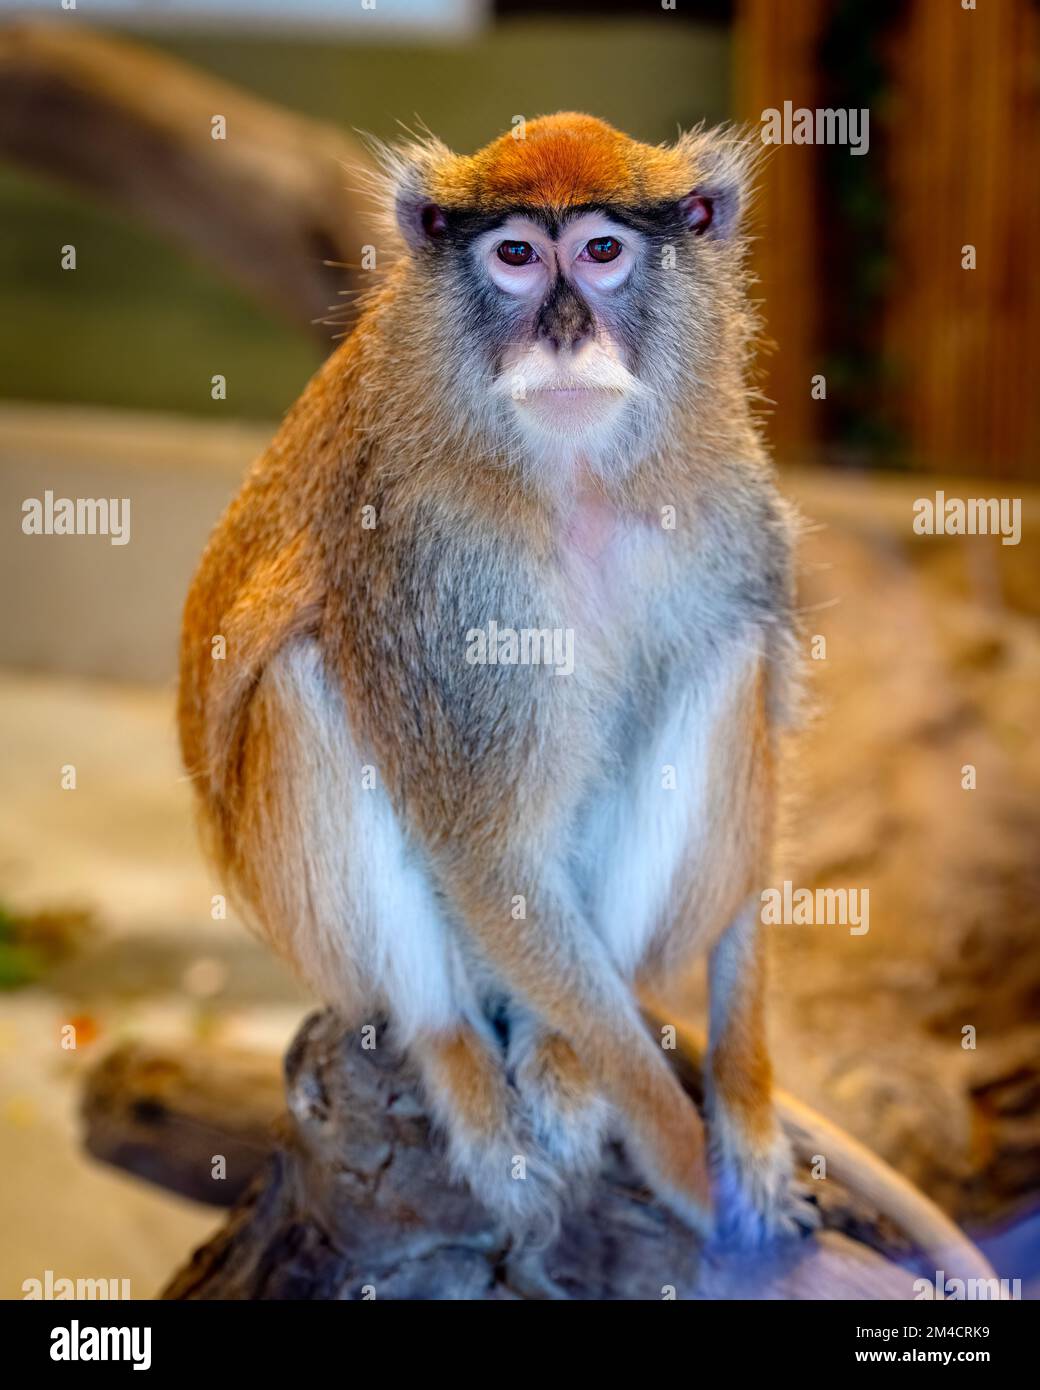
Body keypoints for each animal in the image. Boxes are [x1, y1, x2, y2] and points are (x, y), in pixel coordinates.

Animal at [178, 112, 810, 1251]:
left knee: (725, 657)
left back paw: (559, 1052)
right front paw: (681, 1161)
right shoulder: (436, 567)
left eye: (600, 251)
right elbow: (485, 852)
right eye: (515, 255)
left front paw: (744, 1112)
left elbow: (766, 777)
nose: (561, 330)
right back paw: (459, 1056)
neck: (578, 479)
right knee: (301, 684)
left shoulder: (735, 505)